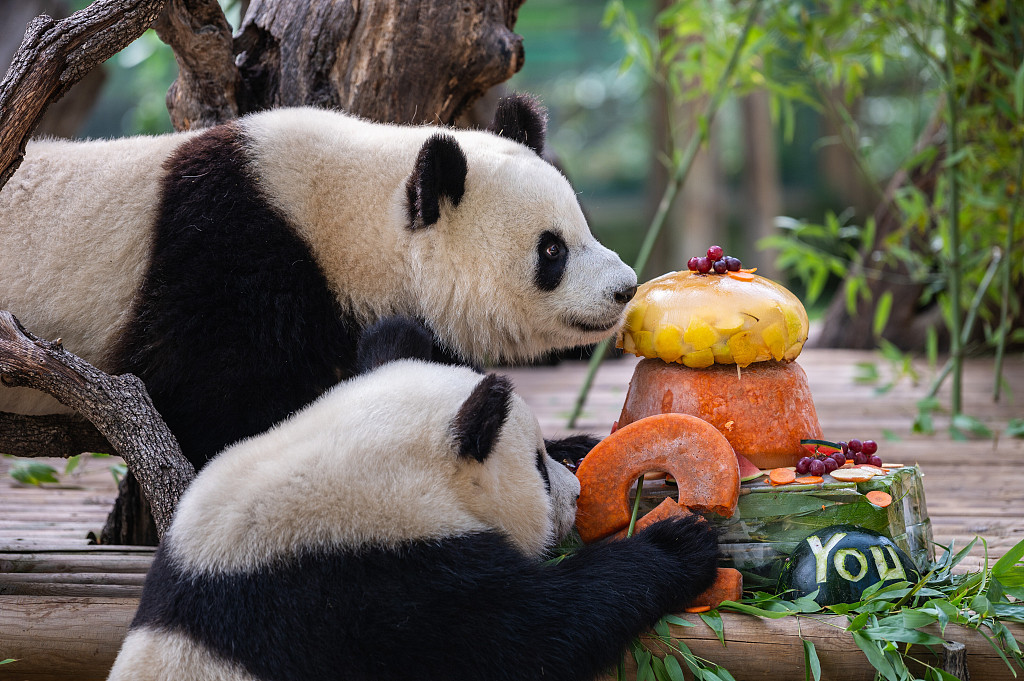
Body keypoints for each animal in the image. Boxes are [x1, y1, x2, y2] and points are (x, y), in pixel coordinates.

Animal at [0, 94, 637, 469]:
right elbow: (224, 405)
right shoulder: (224, 260)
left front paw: (567, 447)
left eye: (583, 224)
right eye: (551, 250)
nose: (626, 287)